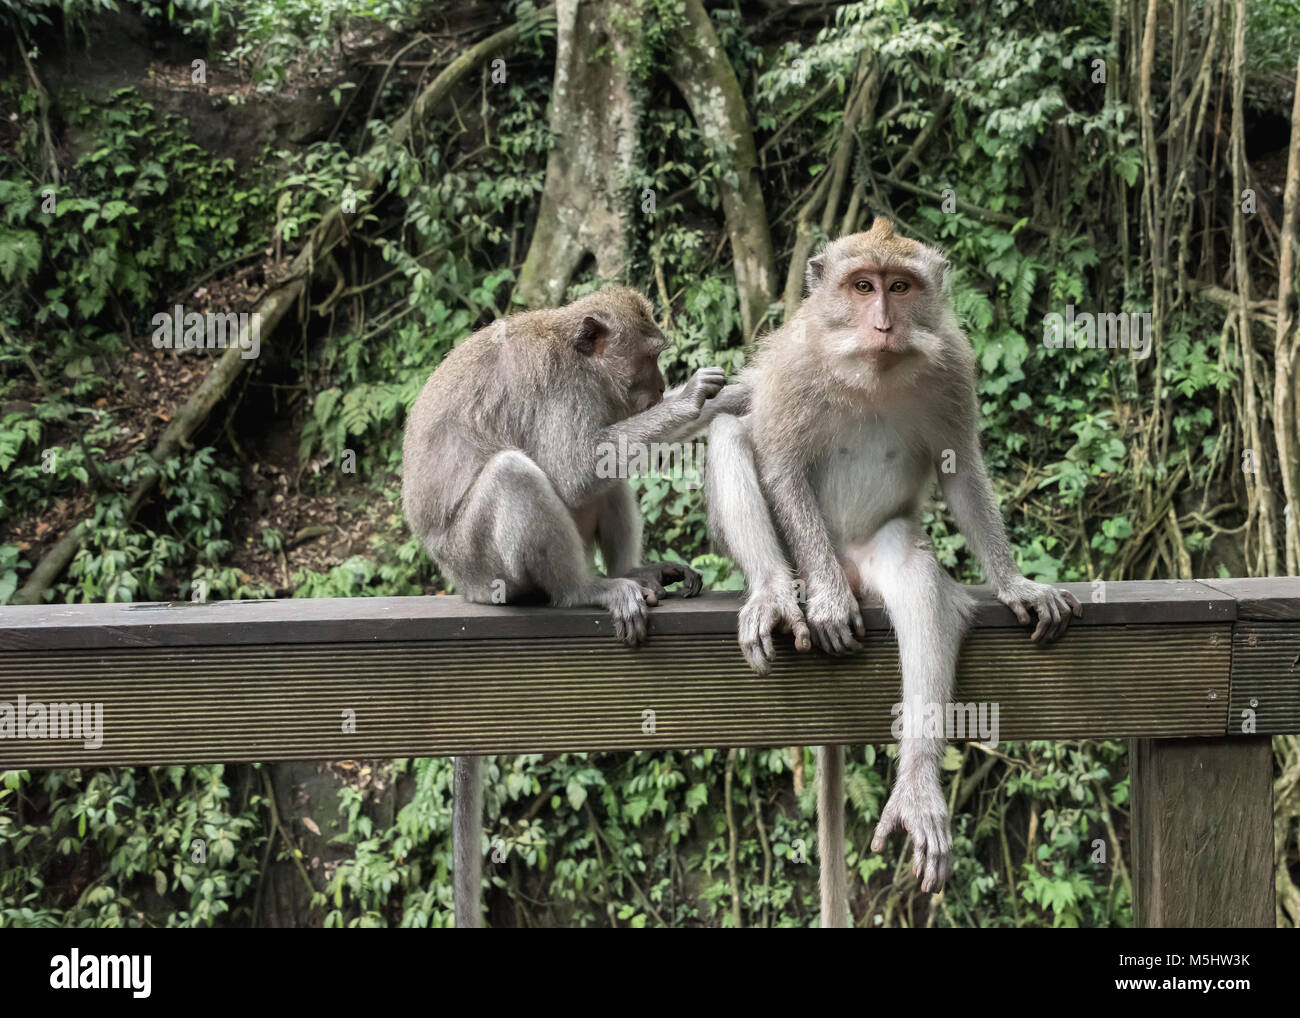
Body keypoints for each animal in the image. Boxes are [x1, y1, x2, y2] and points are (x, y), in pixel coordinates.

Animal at [402, 285, 741, 927]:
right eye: (652, 354)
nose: (661, 386)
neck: (577, 355)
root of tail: (457, 583)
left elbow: (601, 465)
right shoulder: (562, 391)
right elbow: (574, 469)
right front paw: (693, 397)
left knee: (607, 473)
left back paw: (631, 571)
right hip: (485, 563)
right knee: (517, 474)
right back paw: (585, 590)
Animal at [705, 219, 1082, 927]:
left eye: (900, 287)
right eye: (861, 286)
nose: (882, 323)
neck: (871, 368)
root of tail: (850, 564)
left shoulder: (954, 366)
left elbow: (961, 469)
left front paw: (1015, 584)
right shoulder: (793, 361)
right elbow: (779, 457)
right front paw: (825, 604)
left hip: (878, 549)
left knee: (915, 577)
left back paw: (917, 785)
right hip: (808, 550)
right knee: (730, 431)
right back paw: (779, 593)